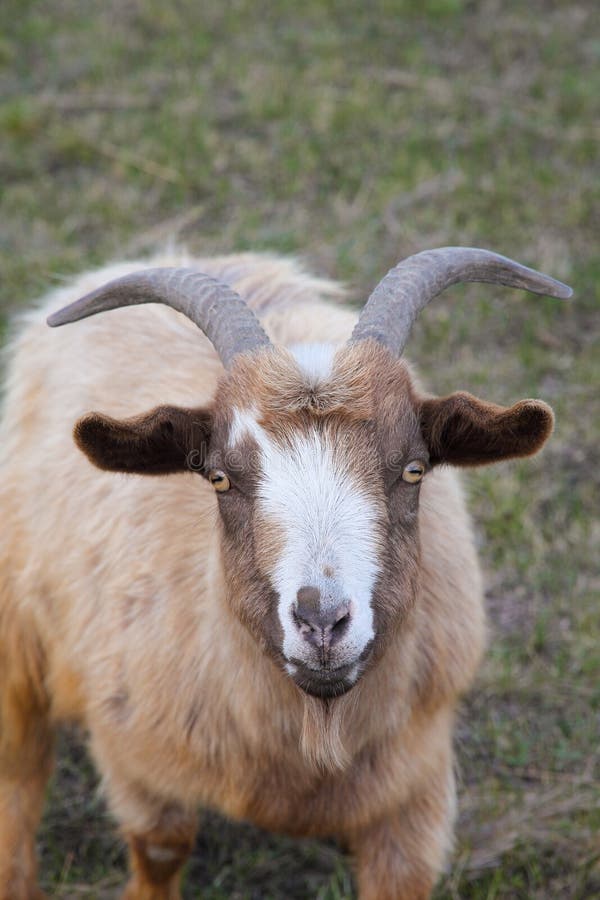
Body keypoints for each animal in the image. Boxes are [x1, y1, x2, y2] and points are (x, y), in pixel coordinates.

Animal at [0, 246, 571, 899]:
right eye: (218, 476)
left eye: (414, 469)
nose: (322, 623)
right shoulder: (135, 763)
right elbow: (162, 850)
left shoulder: (414, 792)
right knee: (19, 773)